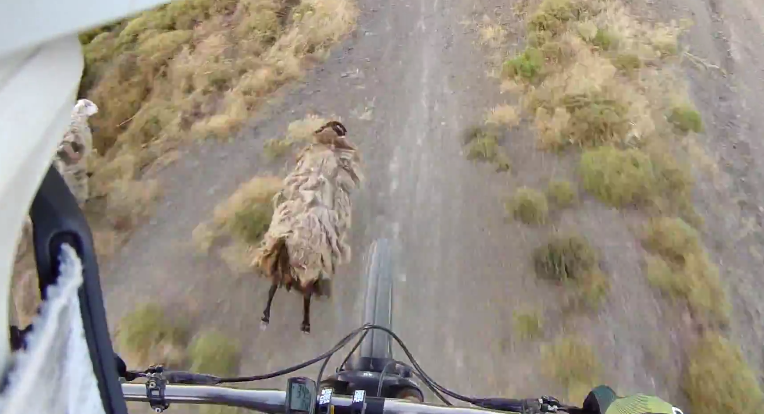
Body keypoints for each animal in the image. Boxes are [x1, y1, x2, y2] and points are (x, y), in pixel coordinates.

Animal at [255, 121, 362, 333]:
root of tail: (286, 239)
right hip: (308, 266)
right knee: (305, 293)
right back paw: (305, 323)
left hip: (282, 264)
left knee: (273, 287)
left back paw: (265, 316)